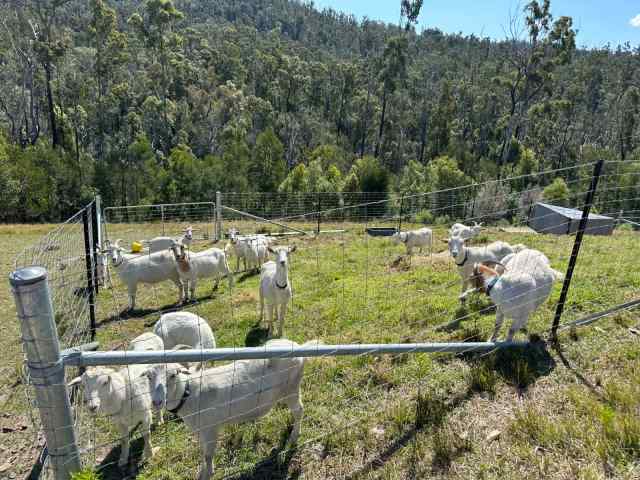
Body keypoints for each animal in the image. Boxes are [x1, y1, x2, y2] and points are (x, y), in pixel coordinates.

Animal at [144, 338, 319, 480]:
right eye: (148, 376)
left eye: (173, 374)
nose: (157, 402)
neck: (189, 393)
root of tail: (299, 347)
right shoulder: (201, 430)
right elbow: (203, 451)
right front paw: (202, 472)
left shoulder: (211, 429)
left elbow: (208, 455)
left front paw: (207, 474)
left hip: (292, 387)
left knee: (299, 410)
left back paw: (294, 436)